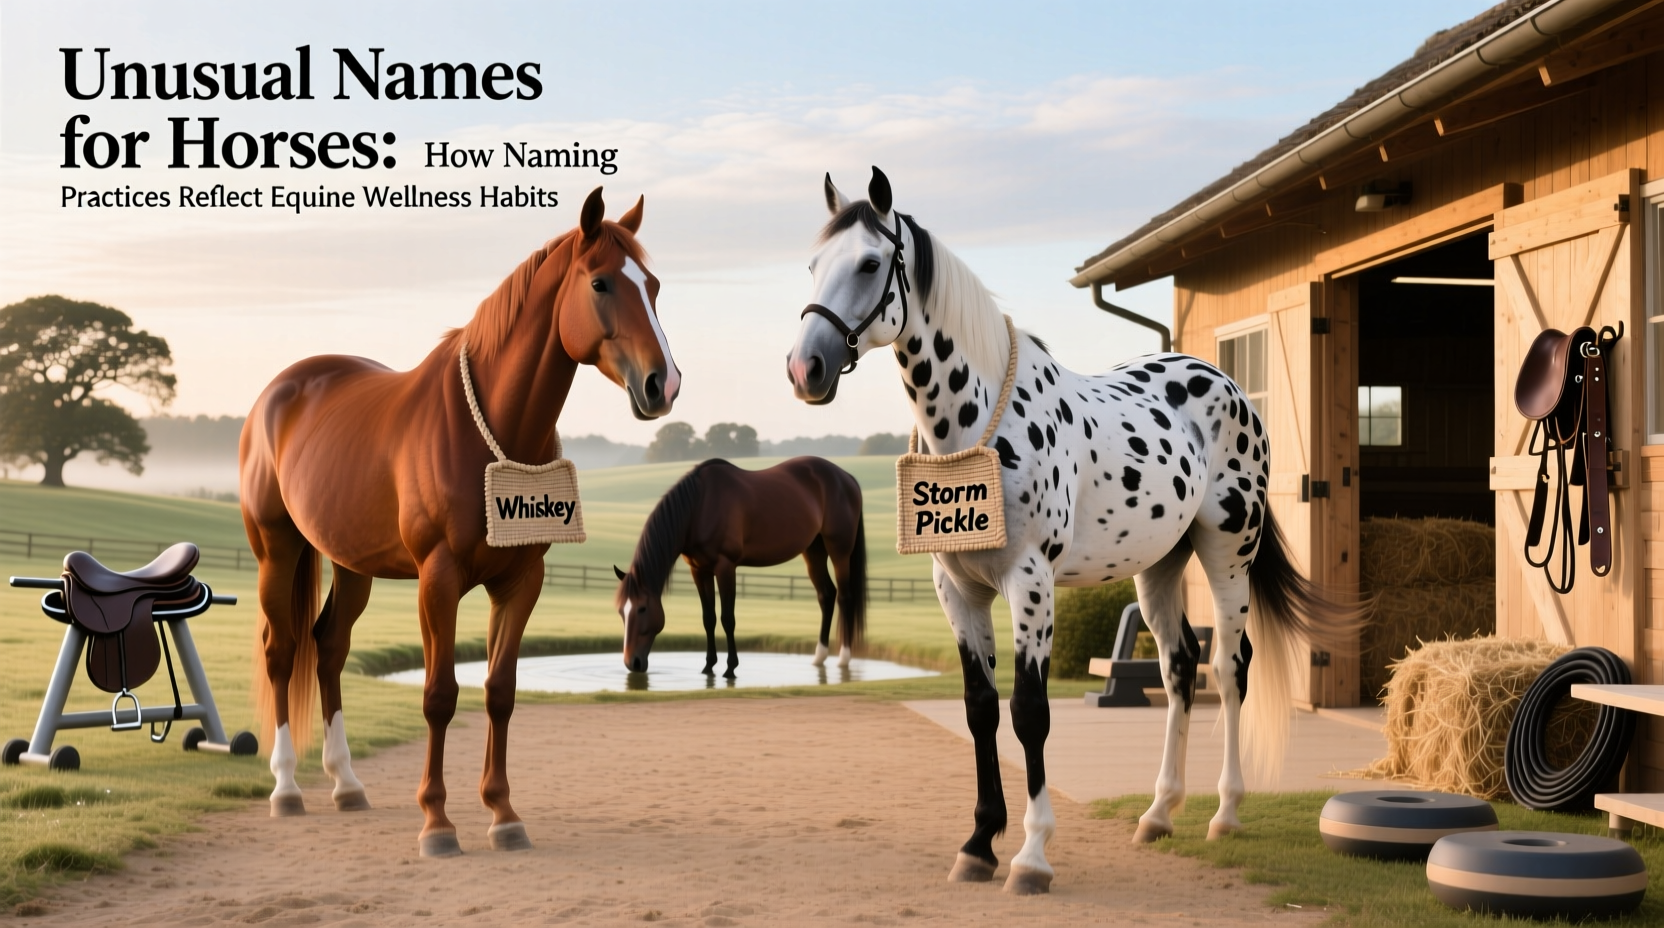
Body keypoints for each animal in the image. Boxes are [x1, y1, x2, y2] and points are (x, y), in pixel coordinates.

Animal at [240, 187, 680, 858]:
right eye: (601, 283)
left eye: (651, 285)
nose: (664, 384)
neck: (493, 434)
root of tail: (277, 392)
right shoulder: (438, 579)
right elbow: (440, 695)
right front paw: (437, 823)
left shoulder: (521, 582)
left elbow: (499, 692)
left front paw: (503, 815)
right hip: (276, 550)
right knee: (283, 650)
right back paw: (287, 788)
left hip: (351, 563)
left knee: (330, 648)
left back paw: (346, 784)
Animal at [613, 456, 867, 678]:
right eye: (621, 611)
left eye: (642, 608)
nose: (632, 662)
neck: (698, 506)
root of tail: (846, 478)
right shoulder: (699, 570)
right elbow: (708, 618)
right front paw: (708, 666)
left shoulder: (726, 567)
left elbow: (728, 618)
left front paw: (730, 668)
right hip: (814, 550)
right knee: (826, 595)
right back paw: (819, 657)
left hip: (839, 550)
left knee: (844, 596)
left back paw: (843, 658)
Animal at [785, 167, 1345, 894]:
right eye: (814, 264)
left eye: (871, 263)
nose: (805, 368)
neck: (975, 429)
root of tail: (1228, 386)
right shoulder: (957, 591)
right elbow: (980, 709)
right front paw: (978, 845)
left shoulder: (1031, 584)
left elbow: (1030, 711)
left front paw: (1031, 855)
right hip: (1159, 566)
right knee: (1179, 668)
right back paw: (1159, 813)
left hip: (1228, 554)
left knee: (1228, 667)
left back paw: (1224, 813)